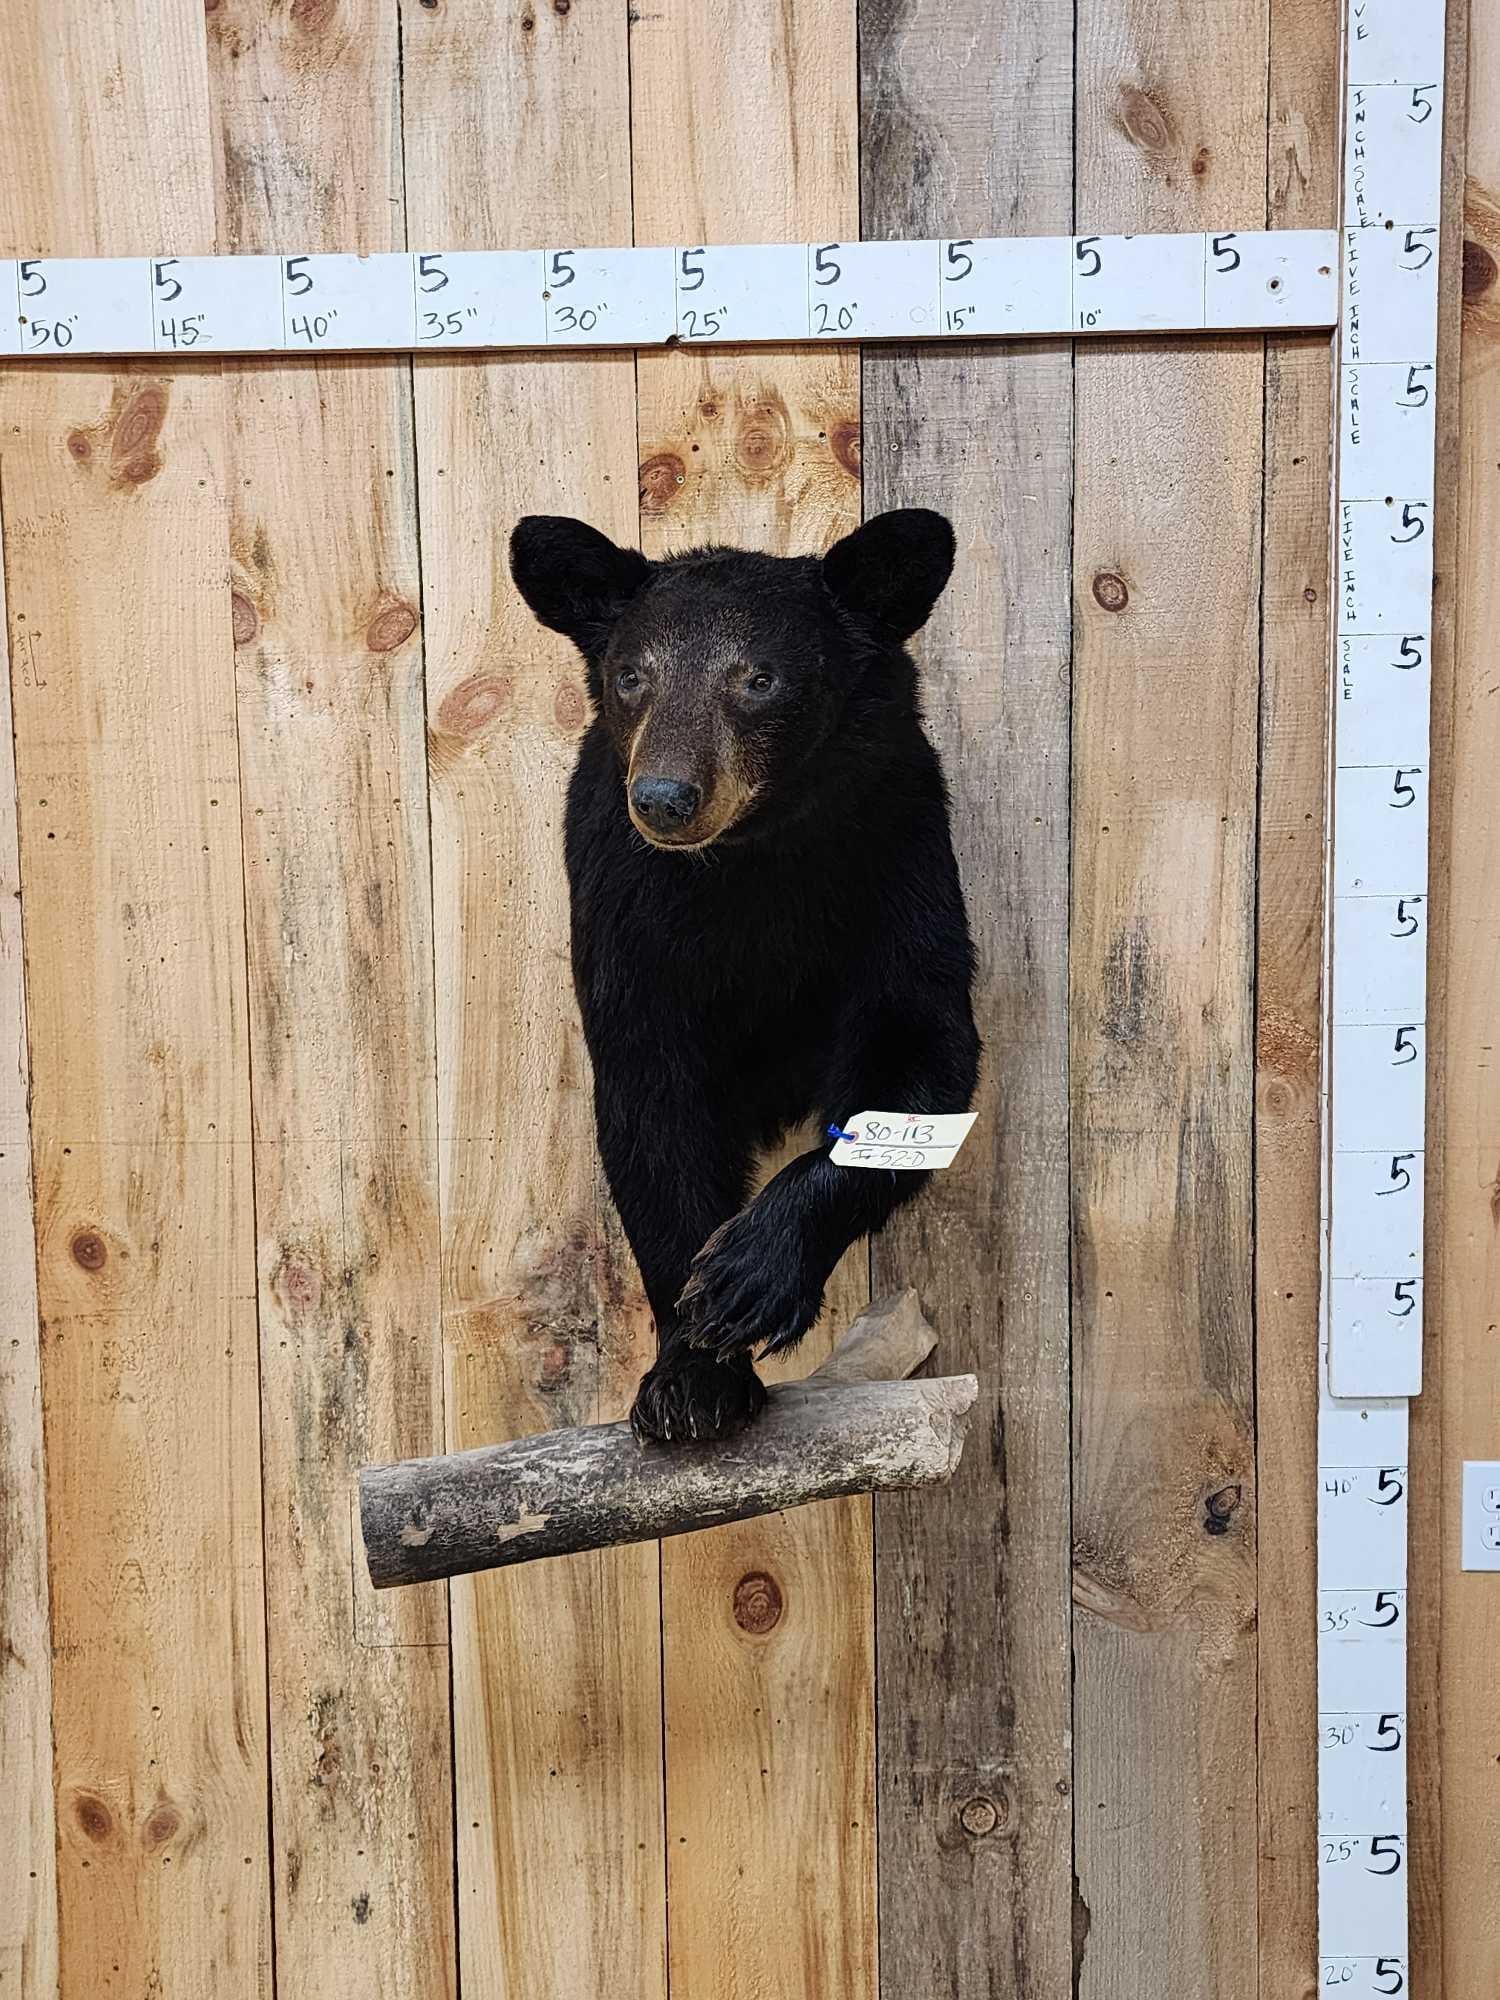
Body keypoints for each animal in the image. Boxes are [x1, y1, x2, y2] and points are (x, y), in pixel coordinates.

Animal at [509, 508, 980, 1445]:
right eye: (631, 675)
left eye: (760, 678)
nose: (664, 797)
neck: (749, 863)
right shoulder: (624, 912)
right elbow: (651, 1110)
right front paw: (690, 1376)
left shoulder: (898, 858)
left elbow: (920, 1048)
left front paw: (749, 1277)